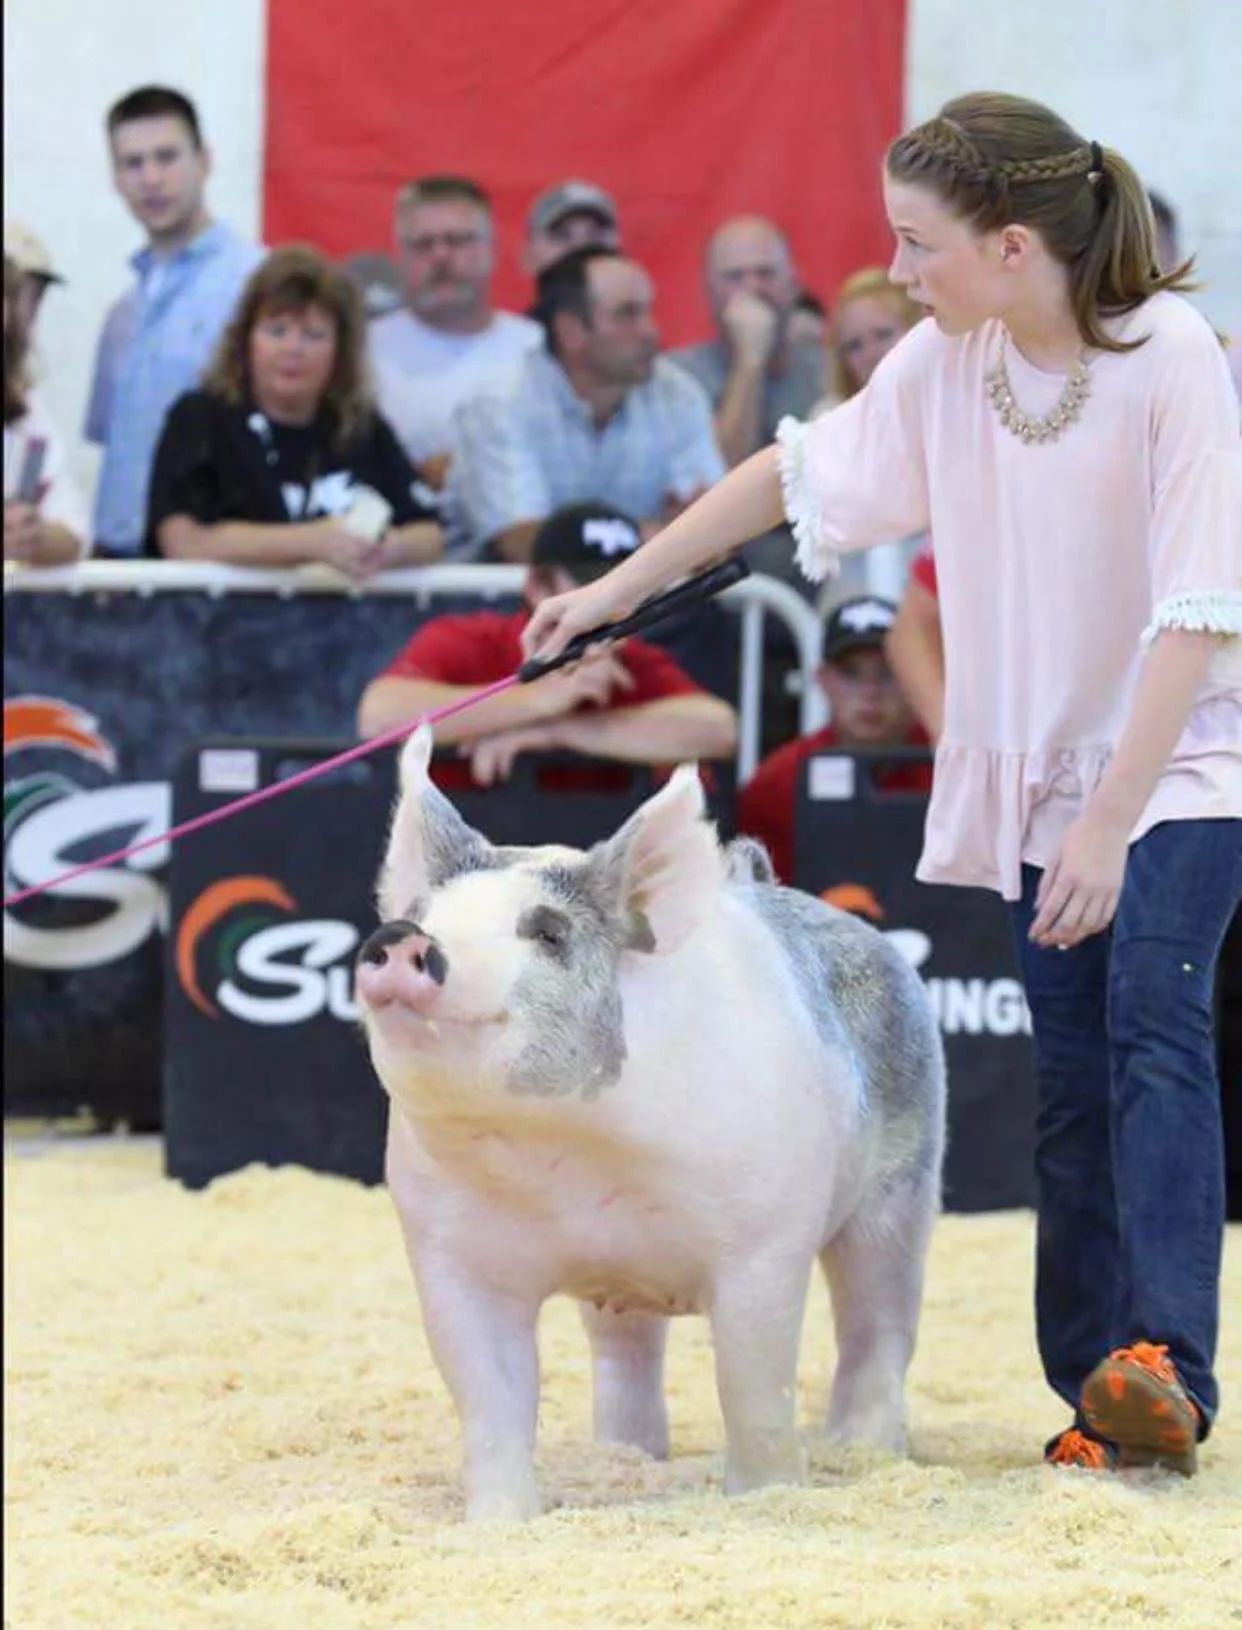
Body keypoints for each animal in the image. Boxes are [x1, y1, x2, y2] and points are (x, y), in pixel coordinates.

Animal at [356, 726, 946, 1522]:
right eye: (425, 909)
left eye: (548, 932)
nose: (402, 936)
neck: (567, 1158)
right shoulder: (448, 1255)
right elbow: (490, 1398)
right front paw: (498, 1522)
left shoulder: (765, 1244)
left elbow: (753, 1385)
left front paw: (767, 1496)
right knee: (627, 1346)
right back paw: (627, 1455)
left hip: (903, 1183)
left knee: (879, 1318)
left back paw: (862, 1452)